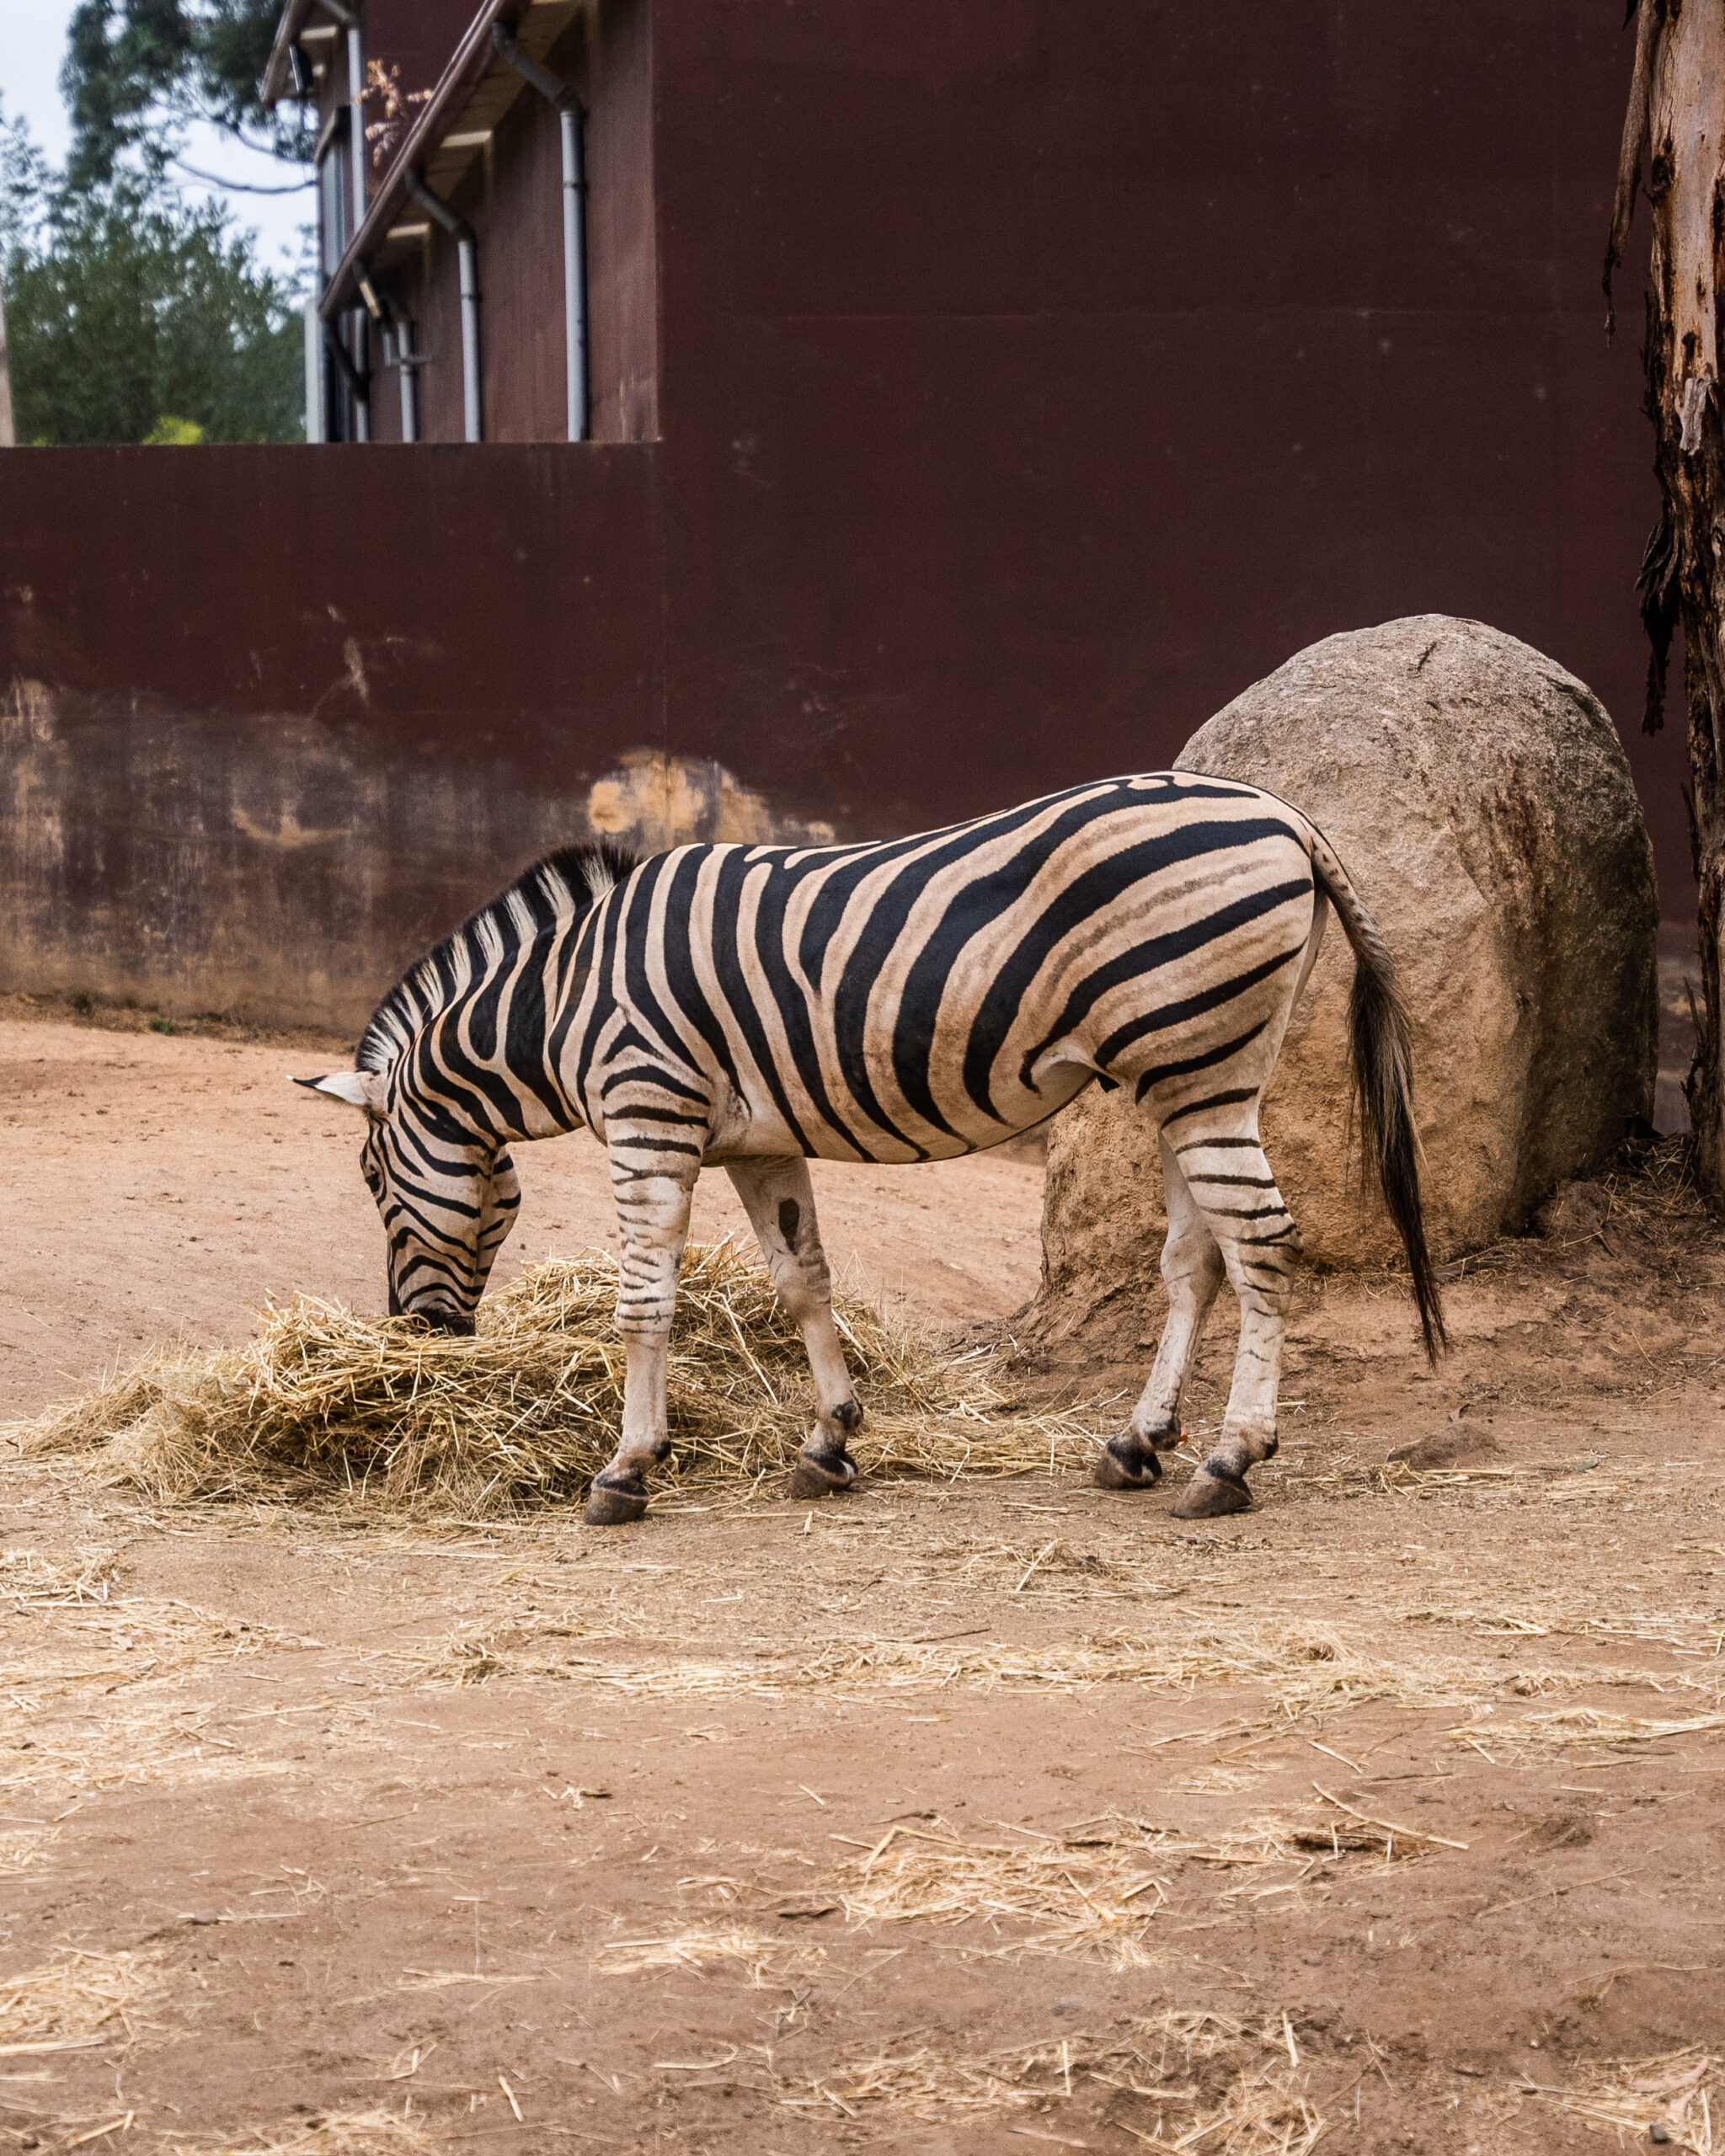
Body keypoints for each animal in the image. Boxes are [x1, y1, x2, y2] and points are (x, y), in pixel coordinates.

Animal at [296, 773, 1444, 1525]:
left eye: (371, 1179)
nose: (416, 1338)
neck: (566, 998)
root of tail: (1281, 811)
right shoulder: (754, 1140)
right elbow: (801, 1280)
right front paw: (831, 1441)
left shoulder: (647, 1112)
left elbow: (643, 1303)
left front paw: (626, 1468)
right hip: (1194, 1070)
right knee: (1194, 1257)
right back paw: (1135, 1445)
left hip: (1196, 1057)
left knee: (1262, 1244)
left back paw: (1229, 1459)